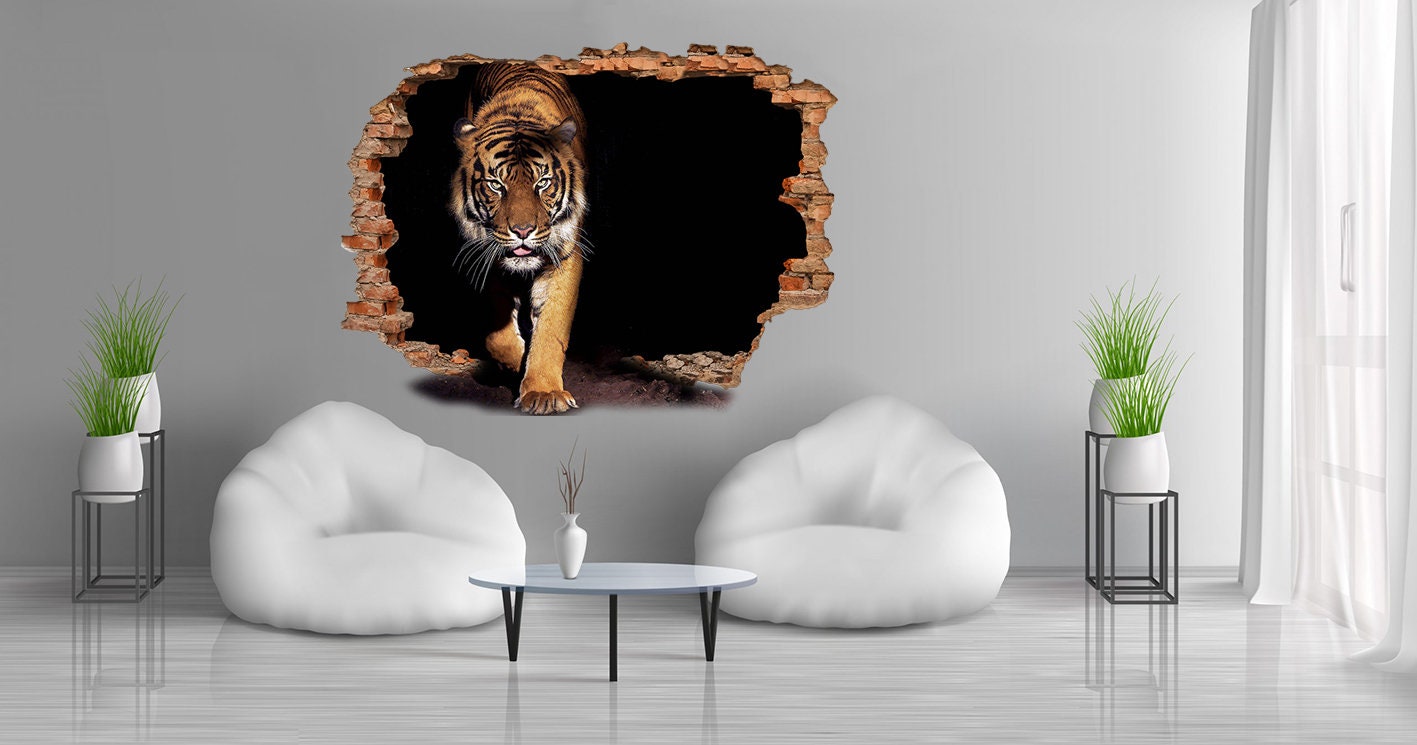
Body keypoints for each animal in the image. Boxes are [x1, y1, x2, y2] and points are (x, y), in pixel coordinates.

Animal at [449, 62, 590, 415]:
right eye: (496, 185)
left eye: (543, 183)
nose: (523, 231)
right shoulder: (485, 253)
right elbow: (497, 332)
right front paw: (515, 363)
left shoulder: (565, 254)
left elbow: (552, 328)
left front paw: (543, 393)